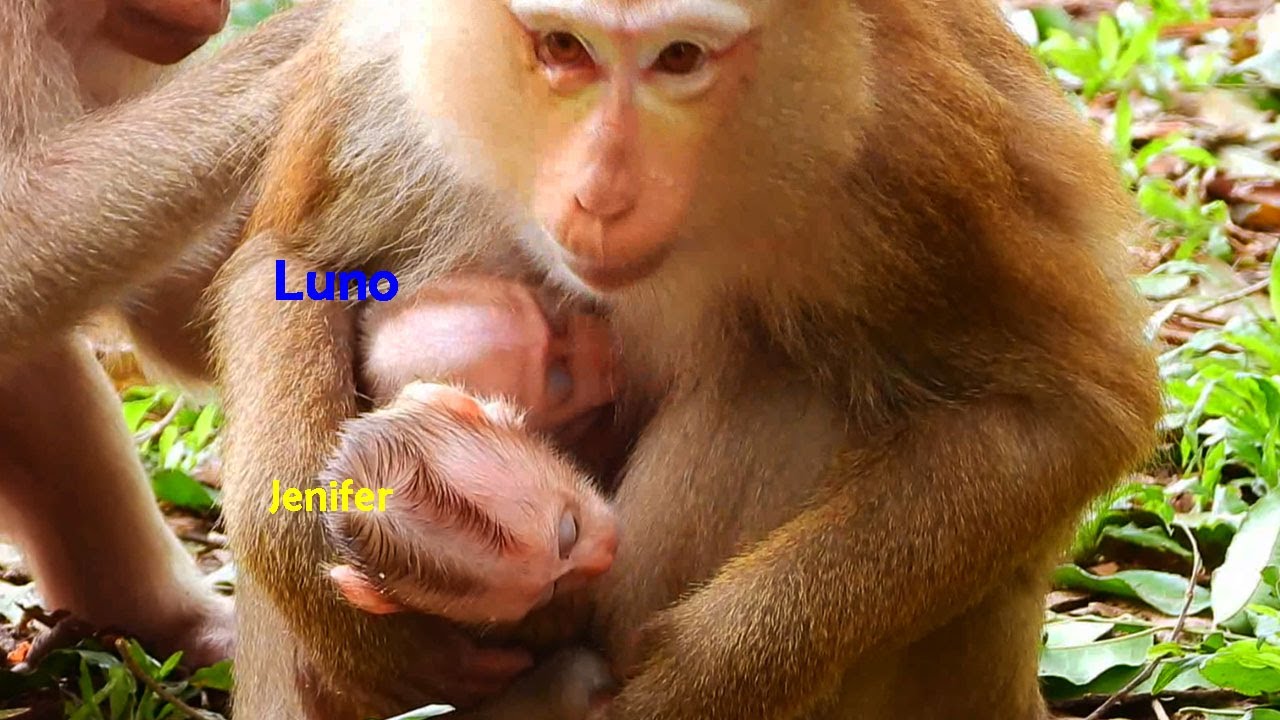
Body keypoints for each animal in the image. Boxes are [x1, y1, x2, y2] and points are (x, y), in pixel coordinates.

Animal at [211, 1, 1162, 718]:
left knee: (793, 396)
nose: (601, 193)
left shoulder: (923, 150)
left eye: (679, 58)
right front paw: (314, 565)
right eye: (565, 47)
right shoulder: (382, 60)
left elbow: (1067, 410)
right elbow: (293, 261)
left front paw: (713, 675)